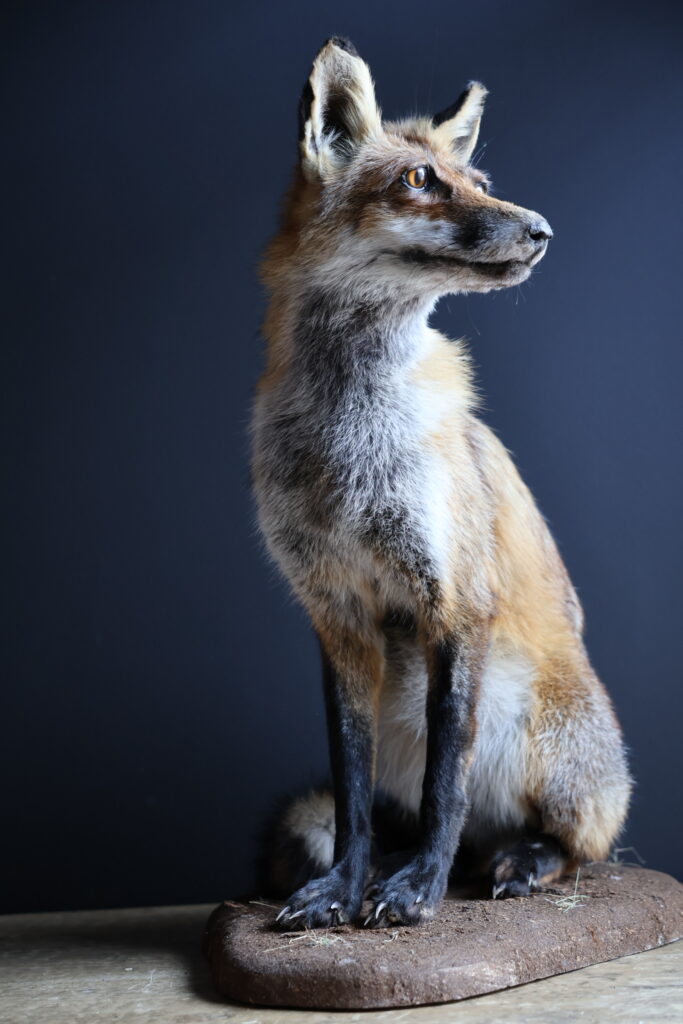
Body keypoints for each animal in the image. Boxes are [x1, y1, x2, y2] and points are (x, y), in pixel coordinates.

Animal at [250, 37, 631, 929]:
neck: (349, 447)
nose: (540, 229)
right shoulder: (336, 618)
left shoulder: (456, 602)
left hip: (534, 725)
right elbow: (351, 794)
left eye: (479, 180)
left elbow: (443, 788)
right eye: (418, 179)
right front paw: (346, 887)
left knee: (580, 846)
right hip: (401, 707)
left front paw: (418, 889)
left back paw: (518, 860)